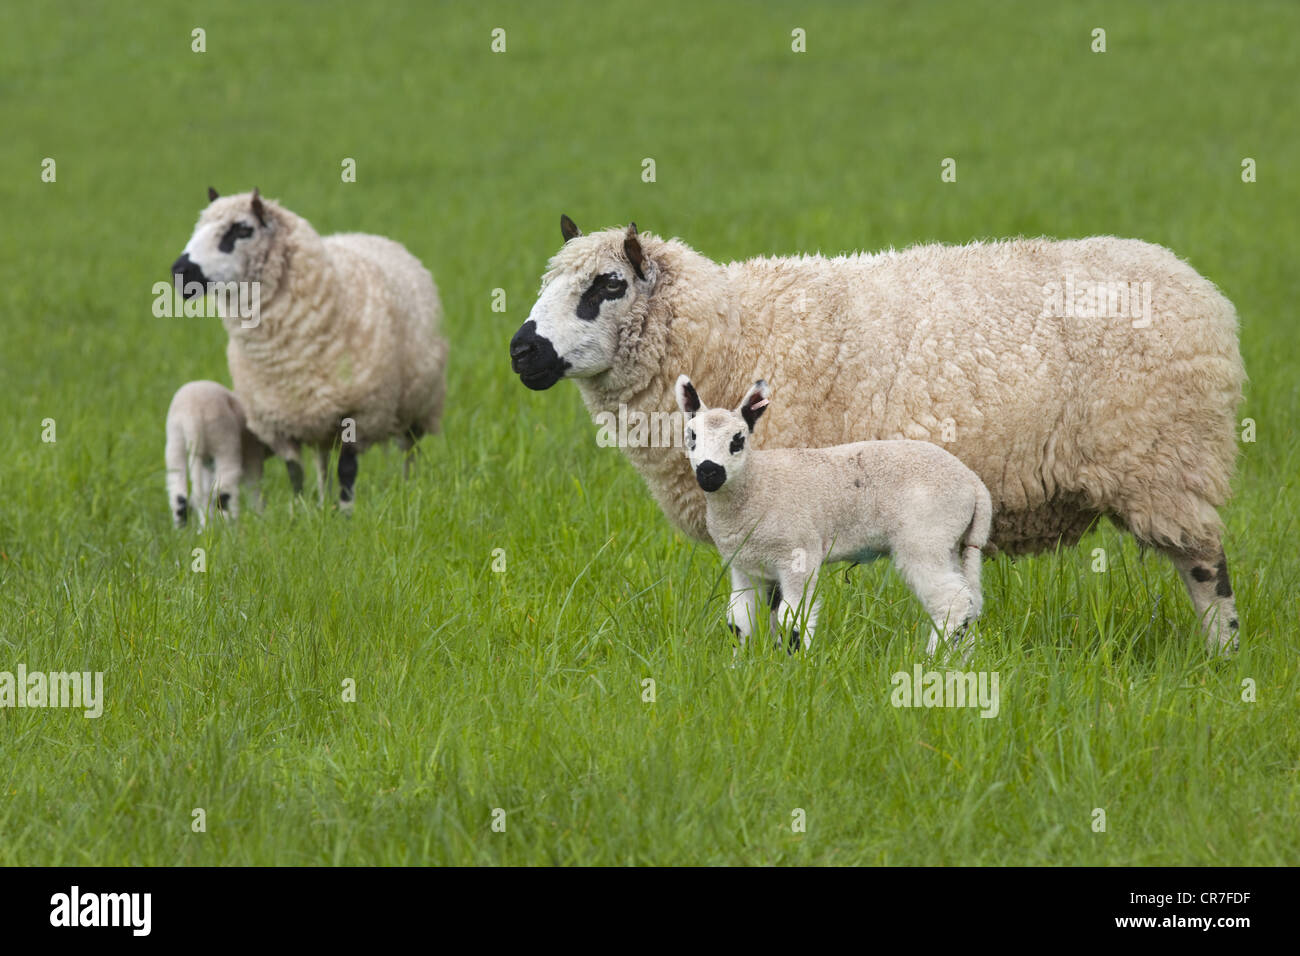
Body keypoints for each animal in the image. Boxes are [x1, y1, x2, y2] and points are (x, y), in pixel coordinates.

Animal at [165, 380, 271, 527]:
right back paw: (230, 526)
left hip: (175, 443)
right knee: (224, 489)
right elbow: (253, 487)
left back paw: (184, 529)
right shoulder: (252, 454)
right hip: (224, 442)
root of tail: (192, 415)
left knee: (178, 492)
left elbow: (206, 491)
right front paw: (259, 516)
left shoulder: (207, 464)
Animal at [170, 187, 448, 511]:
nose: (179, 270)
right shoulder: (278, 421)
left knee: (408, 451)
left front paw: (346, 513)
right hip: (318, 419)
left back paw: (408, 489)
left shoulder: (359, 413)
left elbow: (347, 469)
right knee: (322, 460)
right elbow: (295, 472)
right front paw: (303, 511)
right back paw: (323, 501)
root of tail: (367, 236)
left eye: (241, 230)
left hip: (417, 403)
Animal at [675, 375, 991, 654]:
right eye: (692, 436)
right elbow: (739, 623)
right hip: (949, 542)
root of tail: (975, 485)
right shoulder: (744, 566)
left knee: (952, 602)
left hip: (924, 537)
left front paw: (793, 667)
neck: (758, 484)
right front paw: (738, 667)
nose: (709, 472)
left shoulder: (798, 555)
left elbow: (793, 620)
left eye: (738, 440)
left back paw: (932, 660)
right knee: (968, 603)